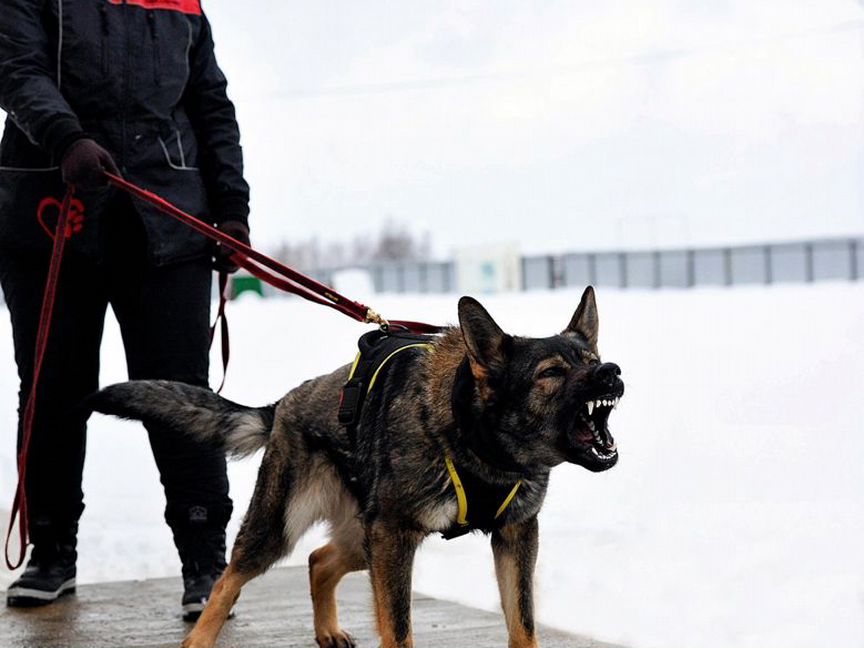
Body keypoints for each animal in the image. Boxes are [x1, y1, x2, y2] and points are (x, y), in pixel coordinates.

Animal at [91, 288, 624, 648]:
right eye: (551, 373)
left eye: (591, 358)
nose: (611, 371)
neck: (475, 441)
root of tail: (282, 404)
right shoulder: (395, 537)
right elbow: (399, 630)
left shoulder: (514, 537)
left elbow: (523, 623)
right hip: (290, 528)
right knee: (228, 579)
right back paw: (200, 638)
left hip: (365, 540)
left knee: (318, 560)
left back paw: (326, 629)